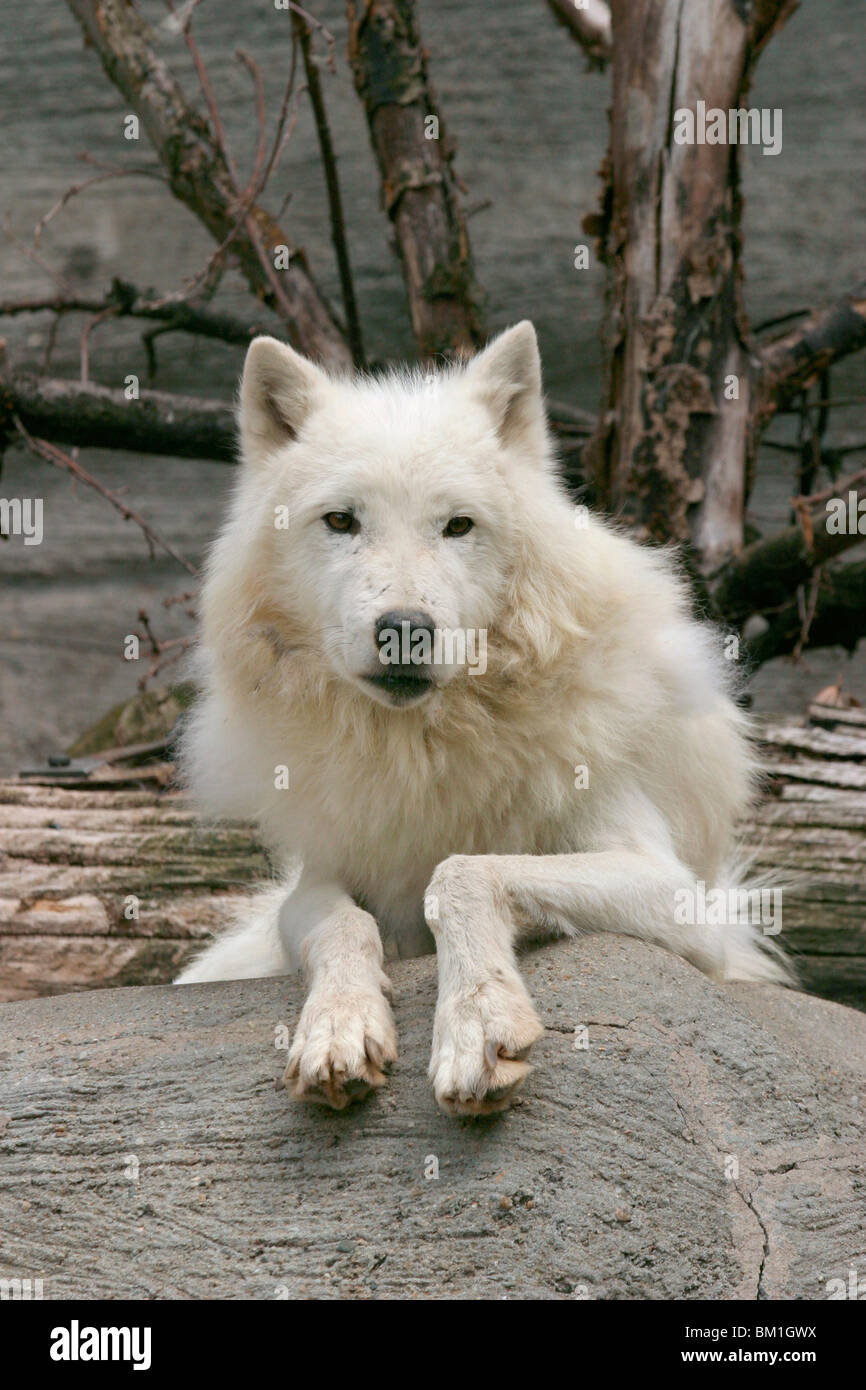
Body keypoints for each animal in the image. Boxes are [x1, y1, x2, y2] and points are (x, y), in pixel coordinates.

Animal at [176, 321, 789, 1115]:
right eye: (341, 520)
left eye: (458, 526)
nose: (405, 628)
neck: (426, 747)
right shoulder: (323, 872)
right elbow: (340, 924)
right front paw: (338, 1026)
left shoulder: (683, 898)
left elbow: (461, 874)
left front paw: (475, 1023)